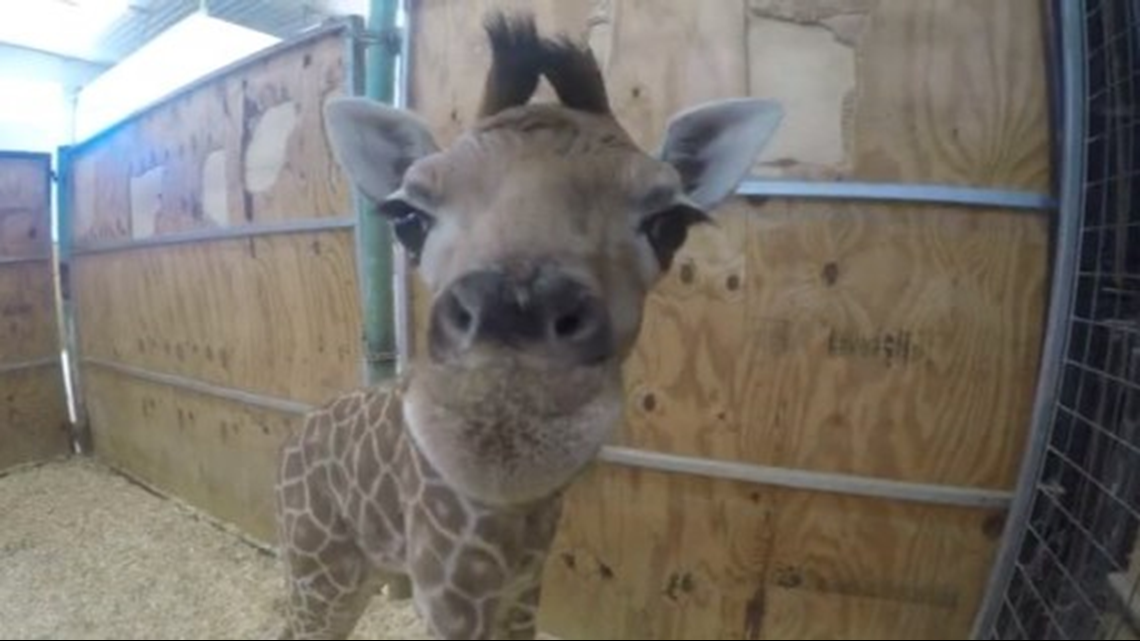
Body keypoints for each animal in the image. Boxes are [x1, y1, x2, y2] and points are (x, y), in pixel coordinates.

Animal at [273, 11, 783, 640]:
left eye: (670, 222)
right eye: (407, 217)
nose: (505, 414)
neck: (513, 522)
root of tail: (296, 433)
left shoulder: (522, 587)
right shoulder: (448, 594)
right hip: (321, 565)